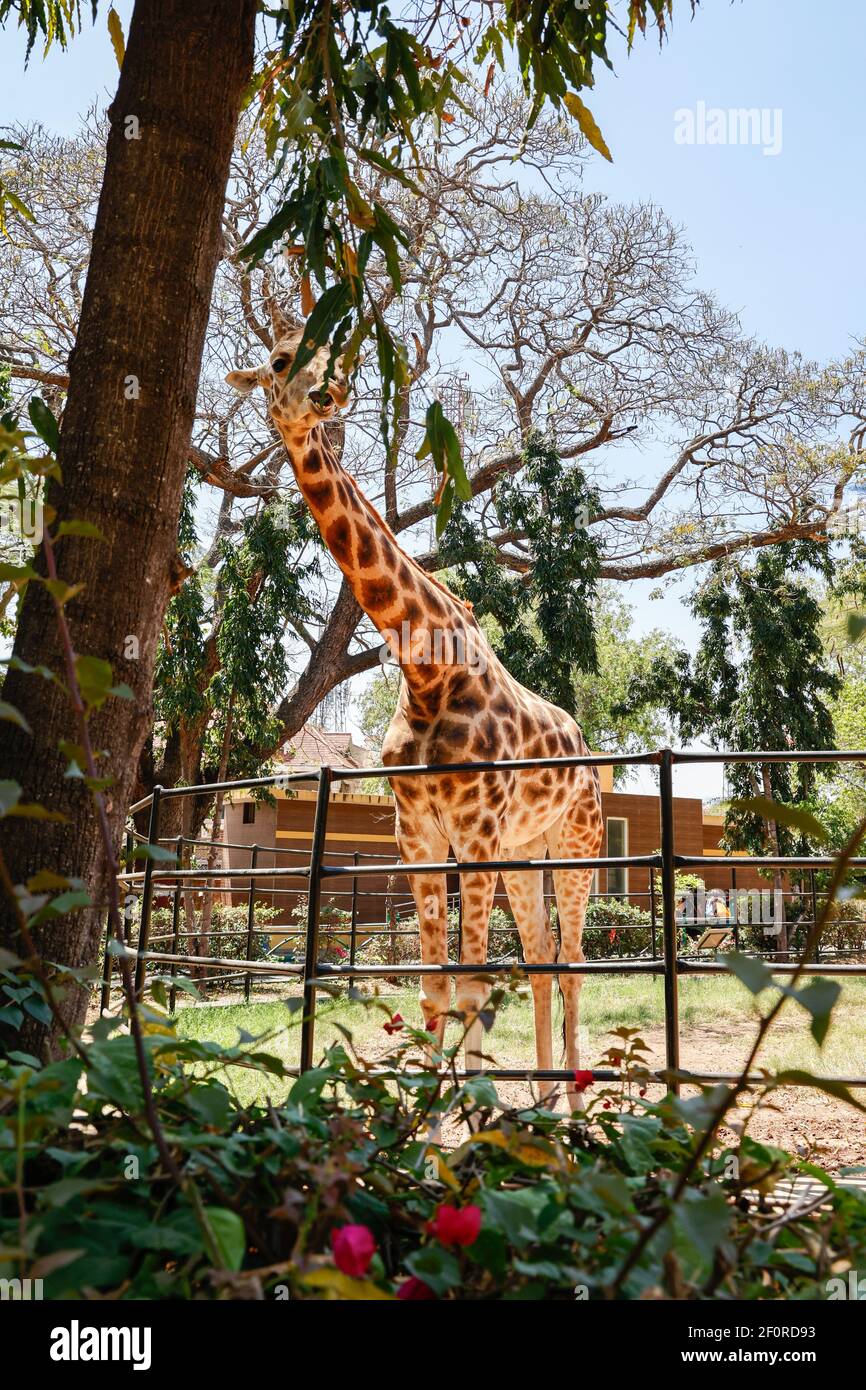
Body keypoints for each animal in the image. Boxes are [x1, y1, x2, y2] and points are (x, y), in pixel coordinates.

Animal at [227, 304, 604, 1108]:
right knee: (541, 957)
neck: (426, 664)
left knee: (573, 960)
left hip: (575, 842)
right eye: (278, 361)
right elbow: (434, 990)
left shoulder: (477, 831)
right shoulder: (420, 833)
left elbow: (470, 990)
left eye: (333, 354)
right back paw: (544, 1098)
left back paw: (575, 1100)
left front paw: (470, 1122)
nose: (328, 396)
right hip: (527, 851)